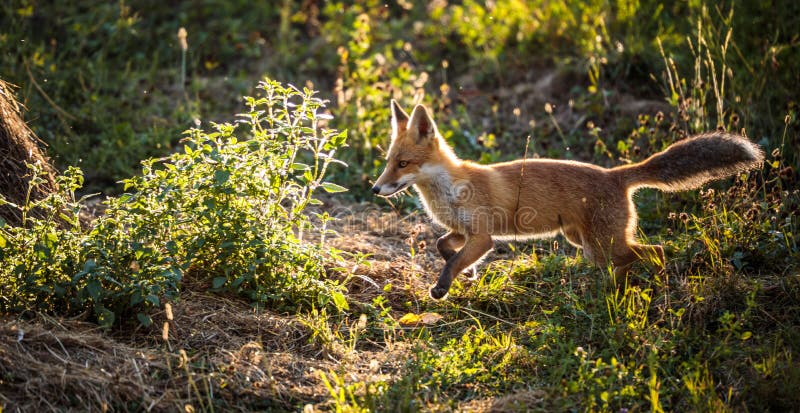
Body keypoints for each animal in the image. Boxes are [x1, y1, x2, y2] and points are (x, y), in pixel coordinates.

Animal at [372, 100, 764, 299]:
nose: (376, 189)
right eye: (389, 162)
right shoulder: (464, 232)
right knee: (634, 259)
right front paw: (468, 273)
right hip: (588, 244)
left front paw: (444, 286)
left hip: (601, 245)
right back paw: (615, 291)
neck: (450, 189)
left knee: (657, 252)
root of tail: (616, 173)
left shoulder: (483, 236)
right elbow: (443, 246)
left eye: (403, 164)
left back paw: (653, 287)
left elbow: (451, 261)